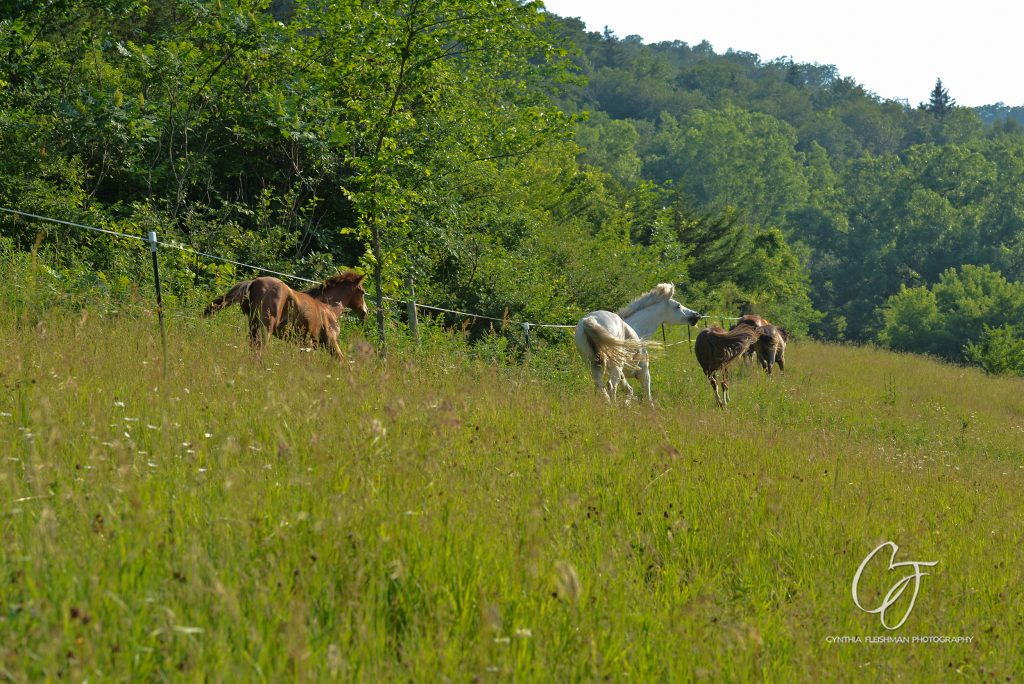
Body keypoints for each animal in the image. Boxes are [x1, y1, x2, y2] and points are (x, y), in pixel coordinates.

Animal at [203, 271, 368, 359]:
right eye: (362, 292)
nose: (365, 312)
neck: (329, 308)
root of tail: (254, 282)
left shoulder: (306, 345)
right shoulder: (331, 342)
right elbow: (343, 362)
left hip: (253, 327)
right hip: (265, 327)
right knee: (259, 351)